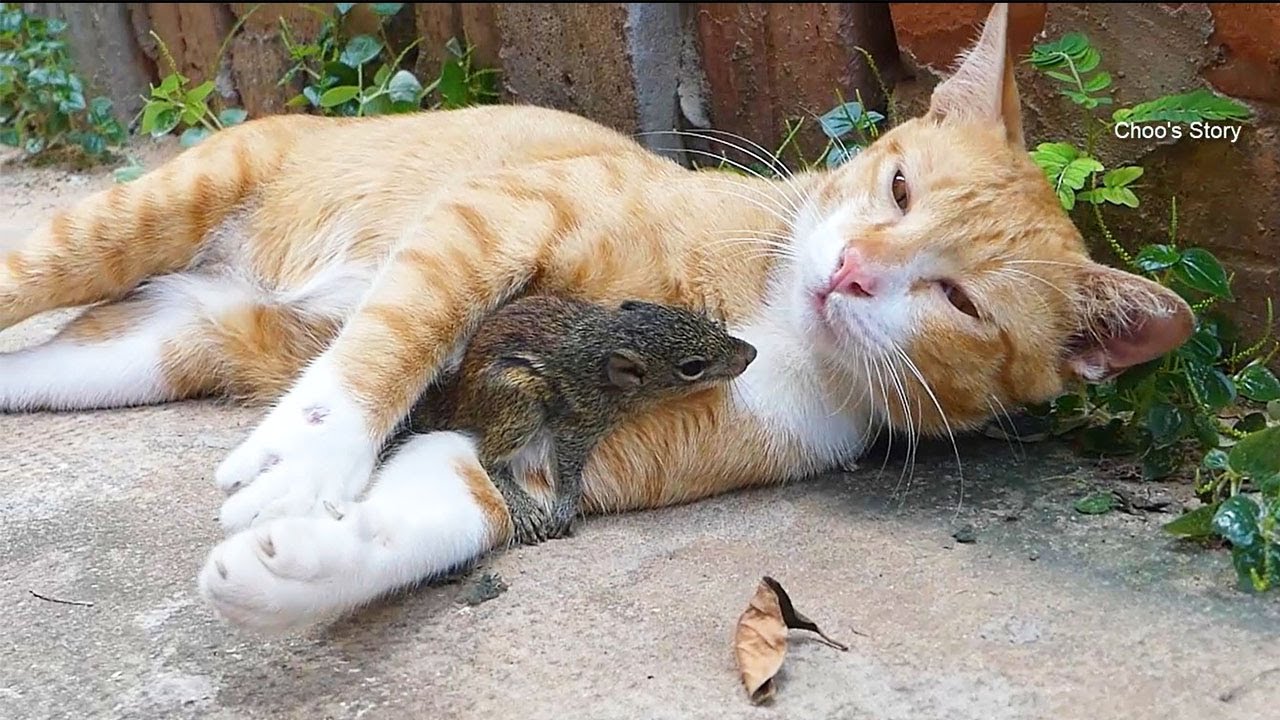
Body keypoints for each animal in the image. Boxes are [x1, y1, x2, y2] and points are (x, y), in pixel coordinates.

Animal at [402, 294, 758, 545]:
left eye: (698, 319)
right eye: (692, 367)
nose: (750, 353)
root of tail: (460, 399)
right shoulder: (579, 421)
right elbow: (568, 465)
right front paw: (565, 507)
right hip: (519, 404)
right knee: (488, 457)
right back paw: (523, 507)